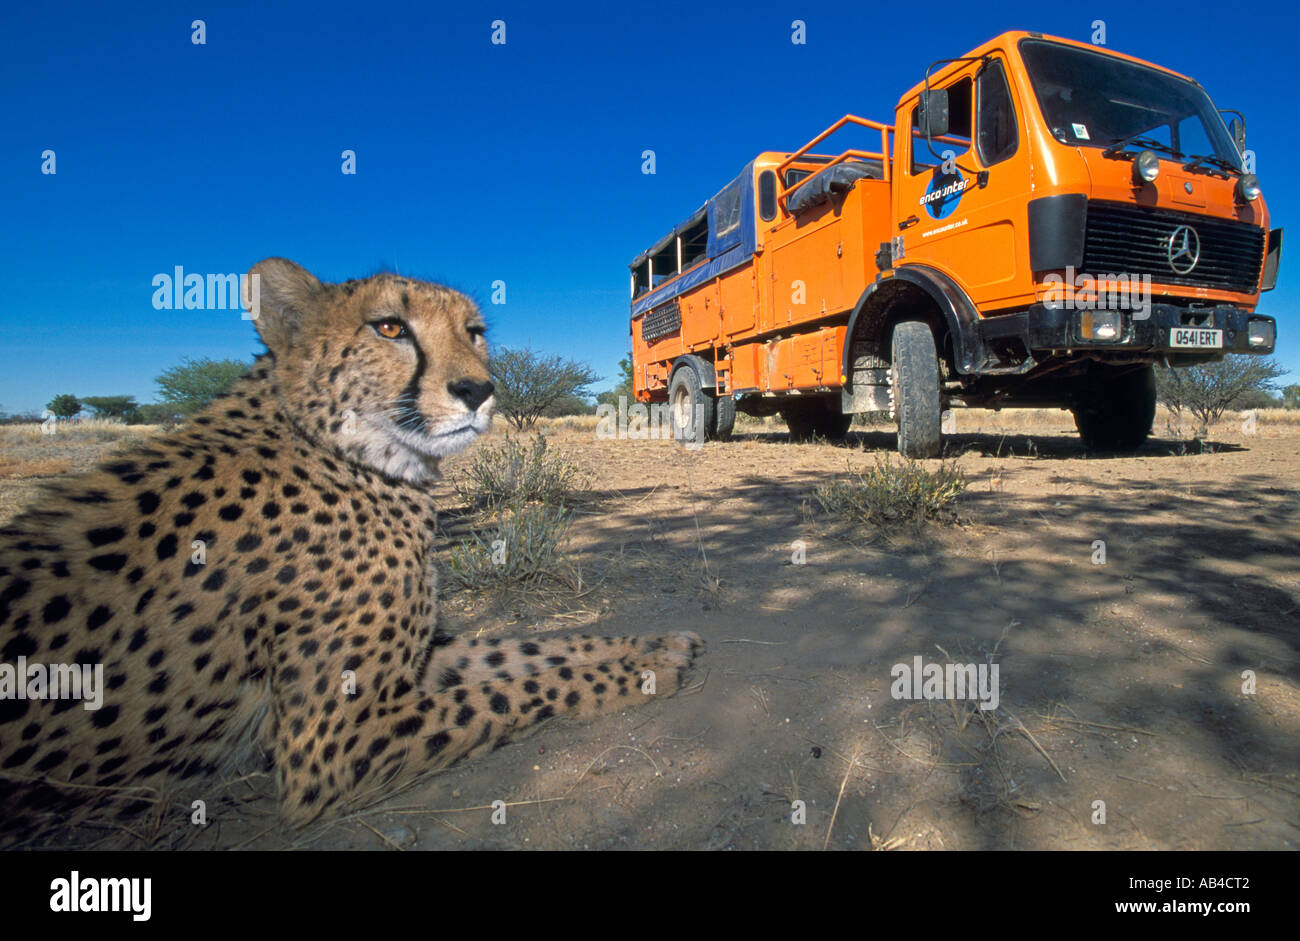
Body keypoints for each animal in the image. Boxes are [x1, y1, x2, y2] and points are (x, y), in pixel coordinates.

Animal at [0, 257, 702, 846]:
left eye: (474, 331)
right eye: (390, 327)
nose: (479, 390)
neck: (346, 449)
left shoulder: (415, 666)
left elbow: (530, 649)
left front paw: (652, 647)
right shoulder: (332, 749)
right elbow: (519, 686)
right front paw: (640, 671)